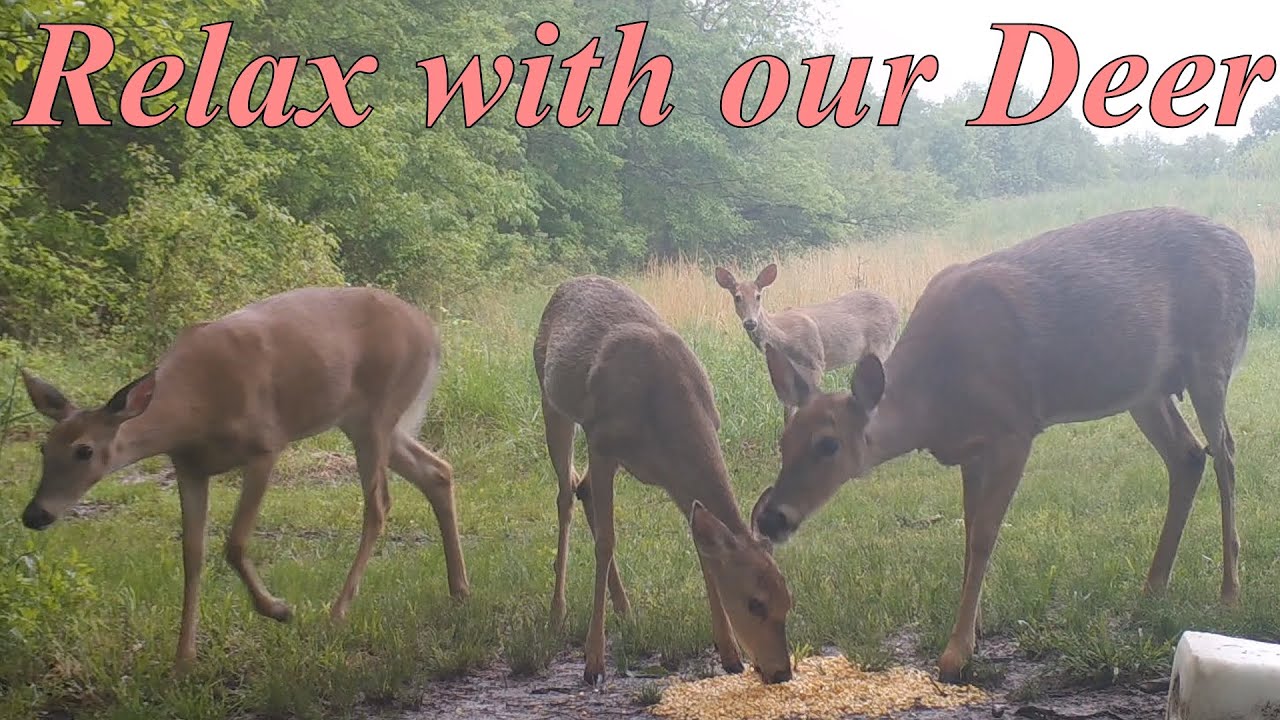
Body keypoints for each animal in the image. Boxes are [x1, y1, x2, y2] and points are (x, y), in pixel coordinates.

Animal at [18, 286, 470, 672]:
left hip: (376, 413)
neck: (194, 407)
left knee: (378, 506)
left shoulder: (265, 446)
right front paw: (183, 658)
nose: (34, 515)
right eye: (43, 448)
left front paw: (279, 610)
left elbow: (234, 543)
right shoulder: (188, 467)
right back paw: (459, 589)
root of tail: (431, 334)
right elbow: (192, 554)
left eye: (84, 450)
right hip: (366, 422)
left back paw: (339, 611)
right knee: (437, 471)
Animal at [533, 274, 795, 687]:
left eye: (788, 599)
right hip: (552, 401)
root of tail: (565, 286)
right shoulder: (602, 441)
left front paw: (730, 654)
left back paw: (625, 609)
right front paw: (594, 662)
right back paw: (557, 612)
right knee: (565, 495)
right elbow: (606, 542)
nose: (782, 671)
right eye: (755, 603)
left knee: (583, 488)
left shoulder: (675, 476)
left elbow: (702, 546)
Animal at [713, 263, 899, 425]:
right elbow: (788, 410)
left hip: (882, 343)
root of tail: (896, 310)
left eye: (758, 296)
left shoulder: (815, 361)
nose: (750, 323)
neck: (784, 338)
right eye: (737, 297)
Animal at [749, 206, 1255, 683]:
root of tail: (1245, 250)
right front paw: (973, 630)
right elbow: (970, 529)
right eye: (782, 442)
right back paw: (1151, 591)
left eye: (828, 445)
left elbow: (985, 537)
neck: (937, 397)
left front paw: (955, 654)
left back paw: (1230, 593)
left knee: (1226, 454)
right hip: (1146, 391)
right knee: (1187, 456)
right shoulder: (970, 448)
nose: (772, 518)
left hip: (1212, 355)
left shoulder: (1015, 428)